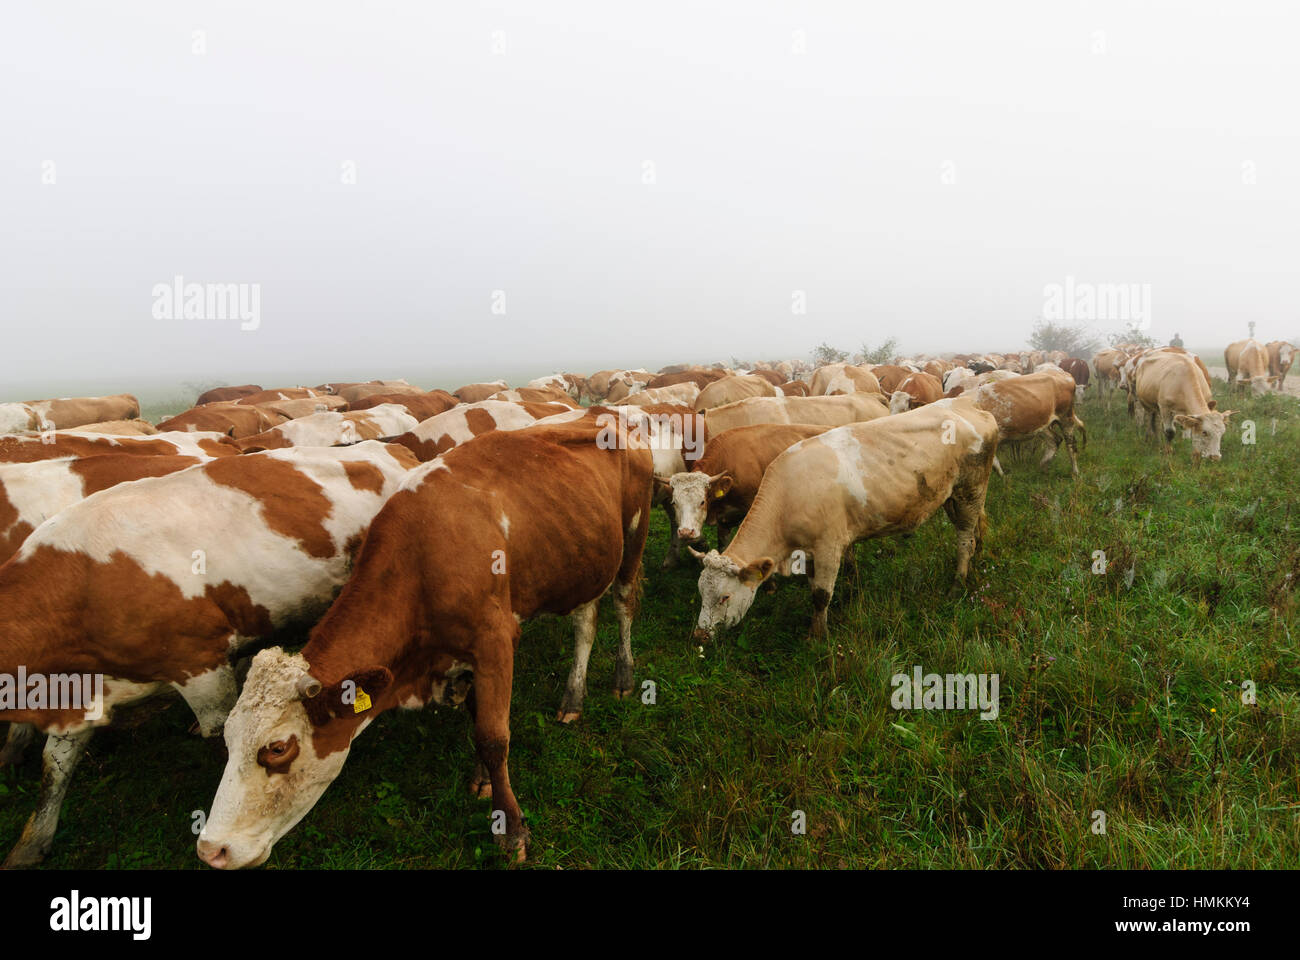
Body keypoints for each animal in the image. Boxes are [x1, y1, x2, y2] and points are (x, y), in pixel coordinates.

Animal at [0, 441, 419, 867]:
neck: (83, 584)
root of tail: (390, 445)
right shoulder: (82, 688)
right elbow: (54, 766)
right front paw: (31, 844)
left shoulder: (203, 666)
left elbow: (223, 736)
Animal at [194, 420, 654, 869]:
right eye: (227, 739)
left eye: (276, 748)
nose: (212, 849)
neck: (422, 558)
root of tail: (611, 420)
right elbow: (478, 717)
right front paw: (482, 778)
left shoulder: (495, 641)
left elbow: (494, 735)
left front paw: (510, 829)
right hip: (584, 562)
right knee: (586, 623)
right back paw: (573, 698)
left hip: (635, 536)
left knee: (624, 604)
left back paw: (623, 676)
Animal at [689, 399, 998, 642]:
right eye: (701, 591)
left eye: (724, 597)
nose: (699, 635)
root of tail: (968, 406)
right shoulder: (812, 551)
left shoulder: (829, 546)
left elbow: (821, 595)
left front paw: (818, 636)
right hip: (953, 498)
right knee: (975, 533)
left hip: (971, 490)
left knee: (965, 539)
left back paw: (957, 583)